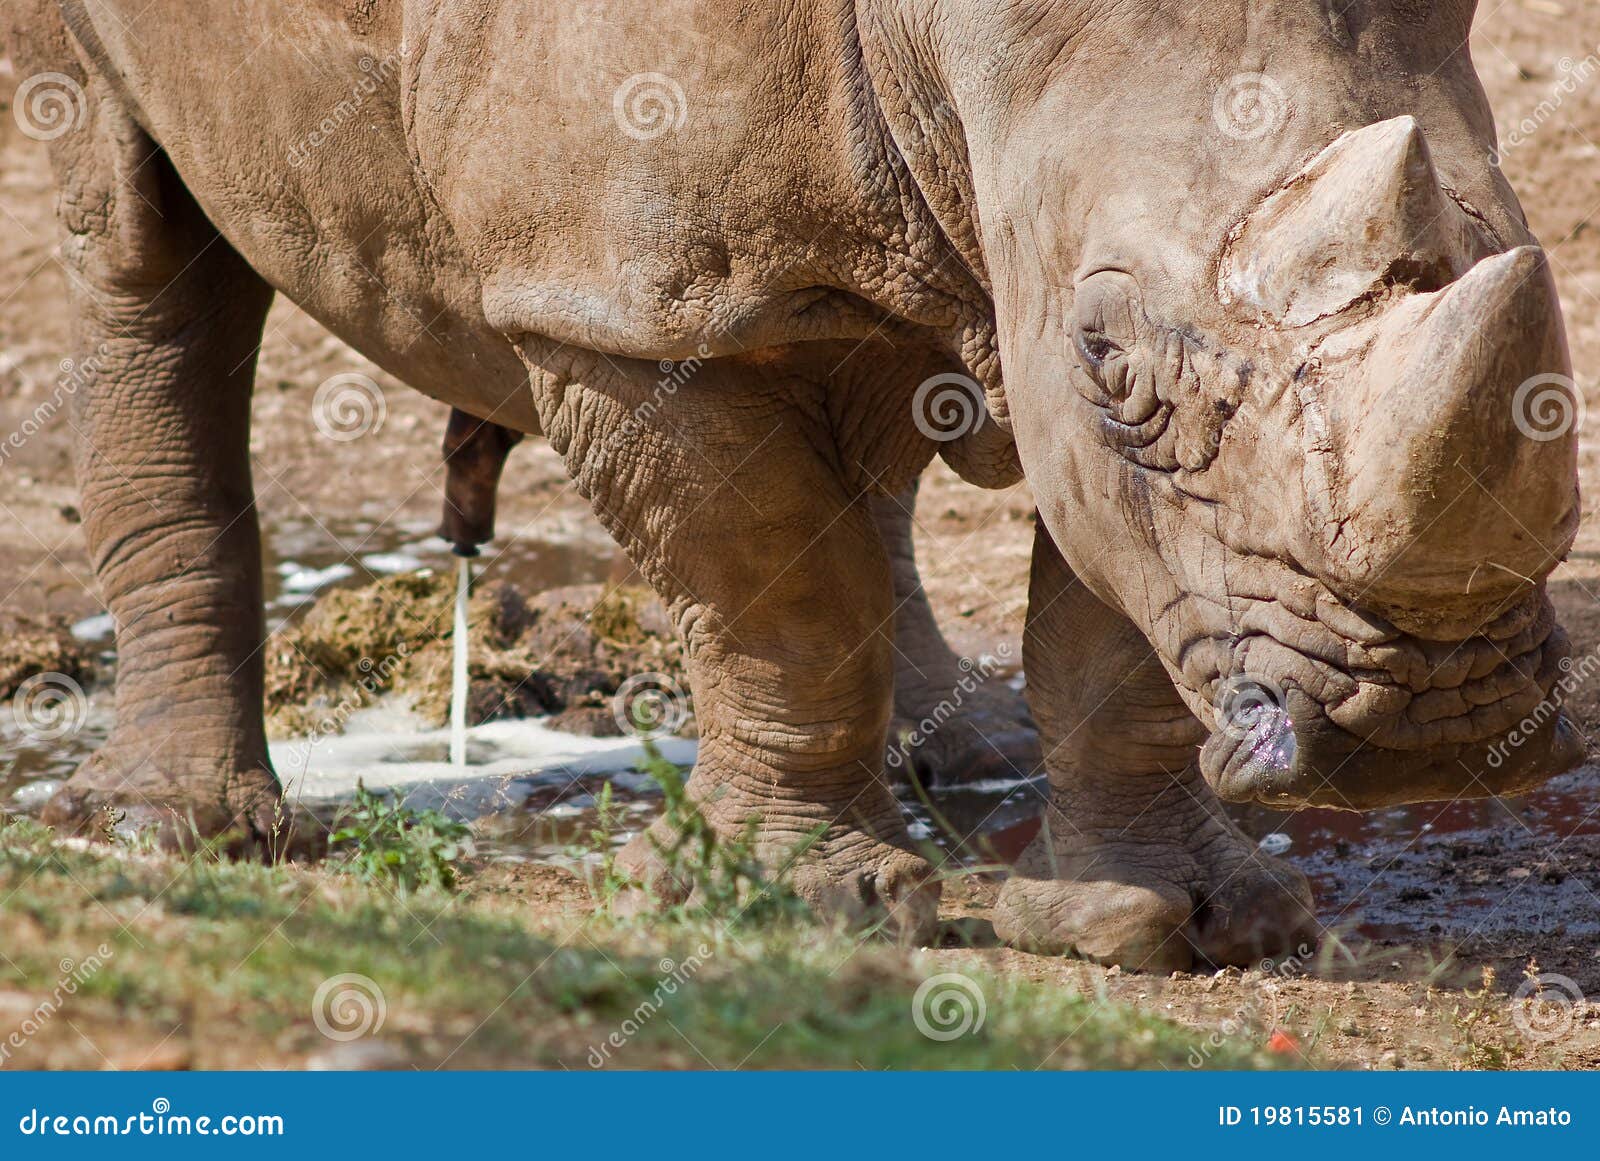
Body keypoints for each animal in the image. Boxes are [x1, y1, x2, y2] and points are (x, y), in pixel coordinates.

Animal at [5, 0, 1582, 970]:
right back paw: (174, 833)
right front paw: (798, 902)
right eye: (1119, 363)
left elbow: (1110, 611)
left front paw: (1189, 921)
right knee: (135, 237)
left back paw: (964, 754)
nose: (1431, 734)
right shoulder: (625, 309)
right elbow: (783, 598)